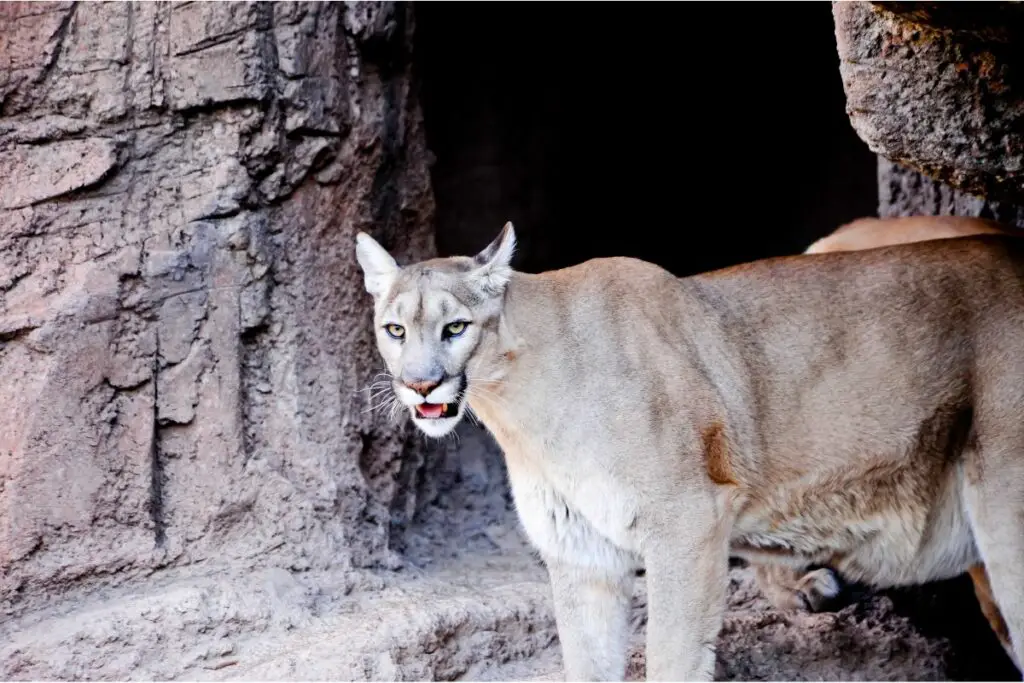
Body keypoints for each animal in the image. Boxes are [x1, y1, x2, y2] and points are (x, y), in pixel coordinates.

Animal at [355, 221, 1024, 681]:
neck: (517, 407)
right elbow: (588, 663)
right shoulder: (581, 552)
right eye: (395, 330)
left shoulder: (686, 524)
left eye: (455, 328)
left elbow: (671, 657)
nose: (420, 384)